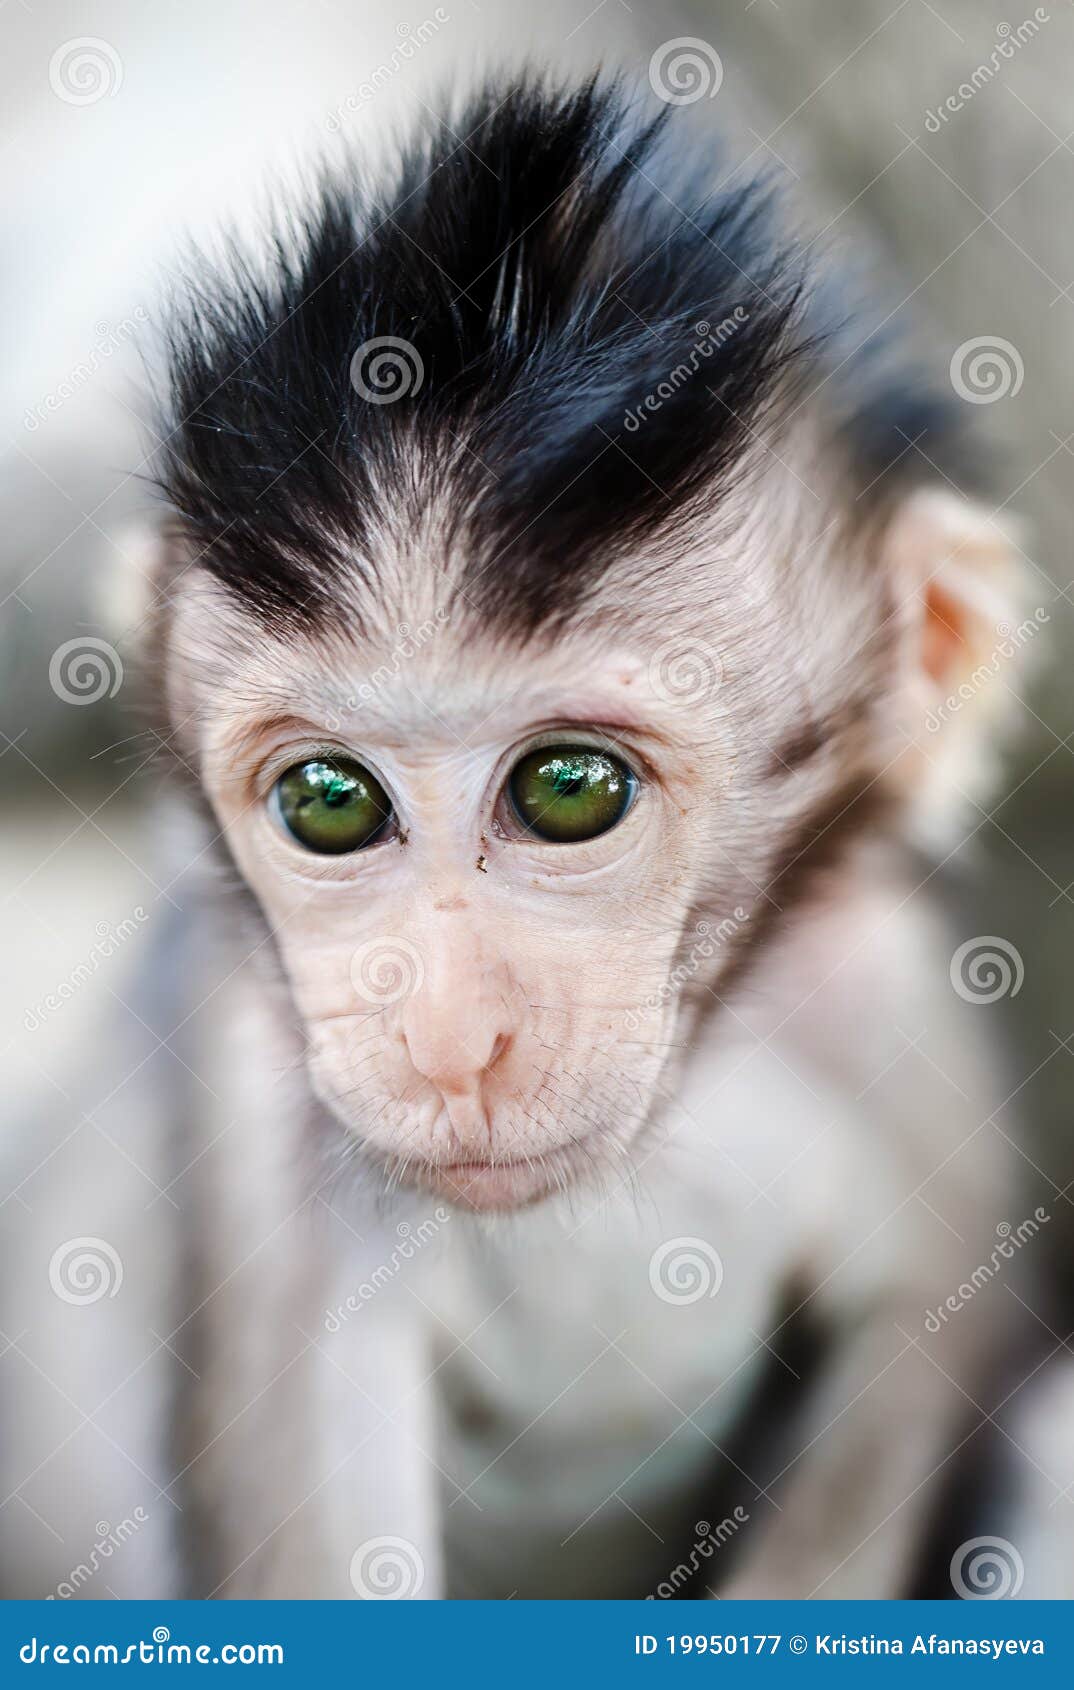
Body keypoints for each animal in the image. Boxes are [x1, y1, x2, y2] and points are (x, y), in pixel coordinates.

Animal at [0, 72, 1044, 1601]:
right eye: (330, 802)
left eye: (567, 790)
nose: (446, 1040)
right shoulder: (254, 1090)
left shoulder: (885, 1016)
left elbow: (912, 1357)